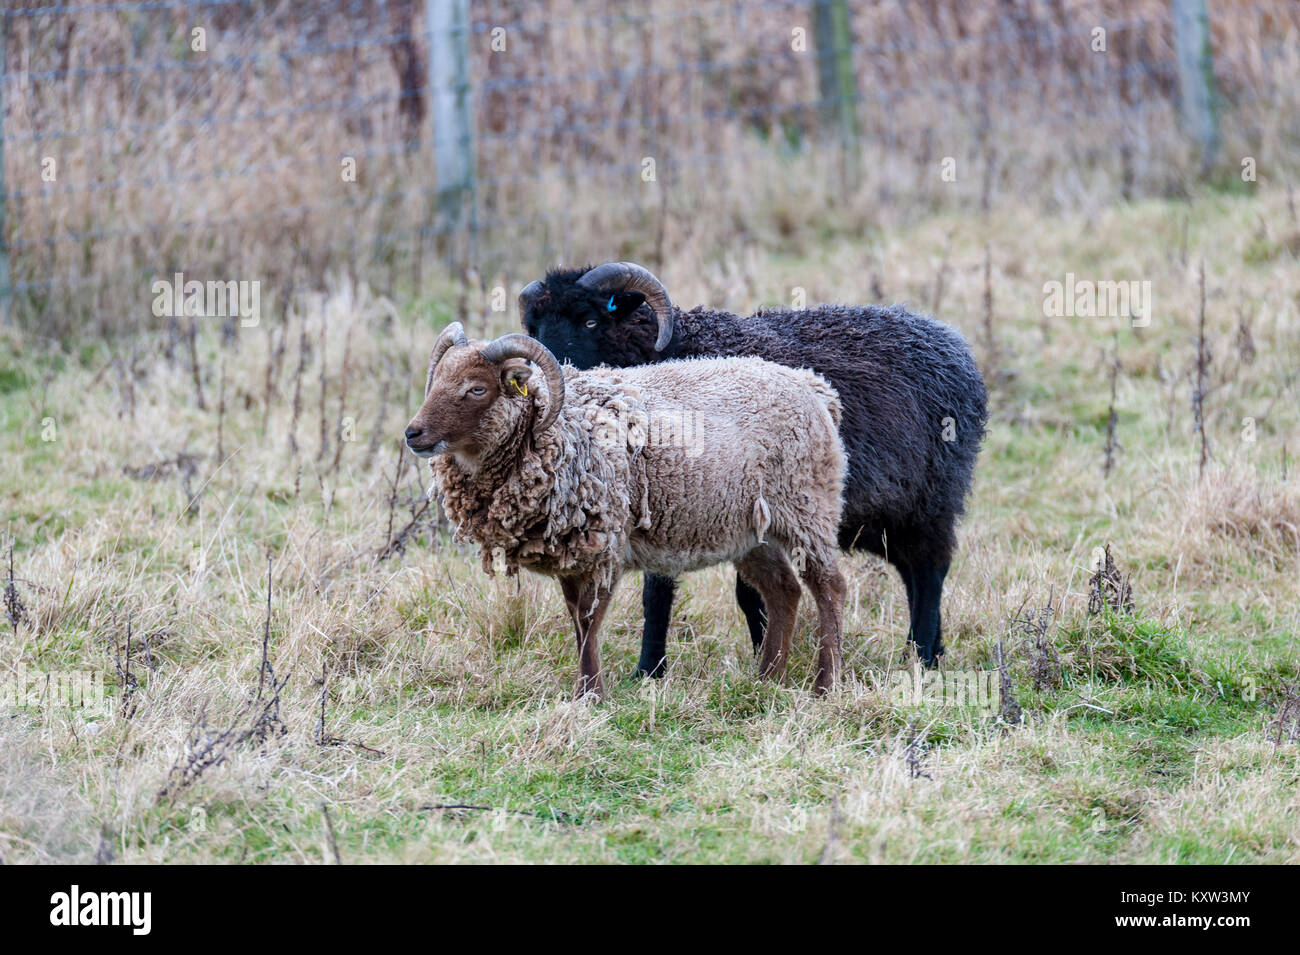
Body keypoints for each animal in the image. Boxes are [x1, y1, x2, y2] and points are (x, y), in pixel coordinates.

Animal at [404, 322, 848, 700]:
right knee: (783, 590)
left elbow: (588, 619)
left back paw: (825, 684)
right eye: (437, 380)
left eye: (477, 389)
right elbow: (575, 617)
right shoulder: (570, 549)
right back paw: (768, 679)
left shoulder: (606, 542)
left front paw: (591, 695)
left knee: (829, 588)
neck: (556, 427)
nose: (413, 434)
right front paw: (585, 691)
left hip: (806, 507)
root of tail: (813, 386)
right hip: (750, 530)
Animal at [519, 261, 988, 676]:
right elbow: (672, 592)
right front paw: (653, 670)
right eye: (533, 329)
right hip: (886, 515)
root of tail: (953, 342)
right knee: (913, 573)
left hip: (930, 498)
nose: (549, 379)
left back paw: (921, 657)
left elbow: (710, 594)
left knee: (930, 569)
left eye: (590, 321)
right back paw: (930, 651)